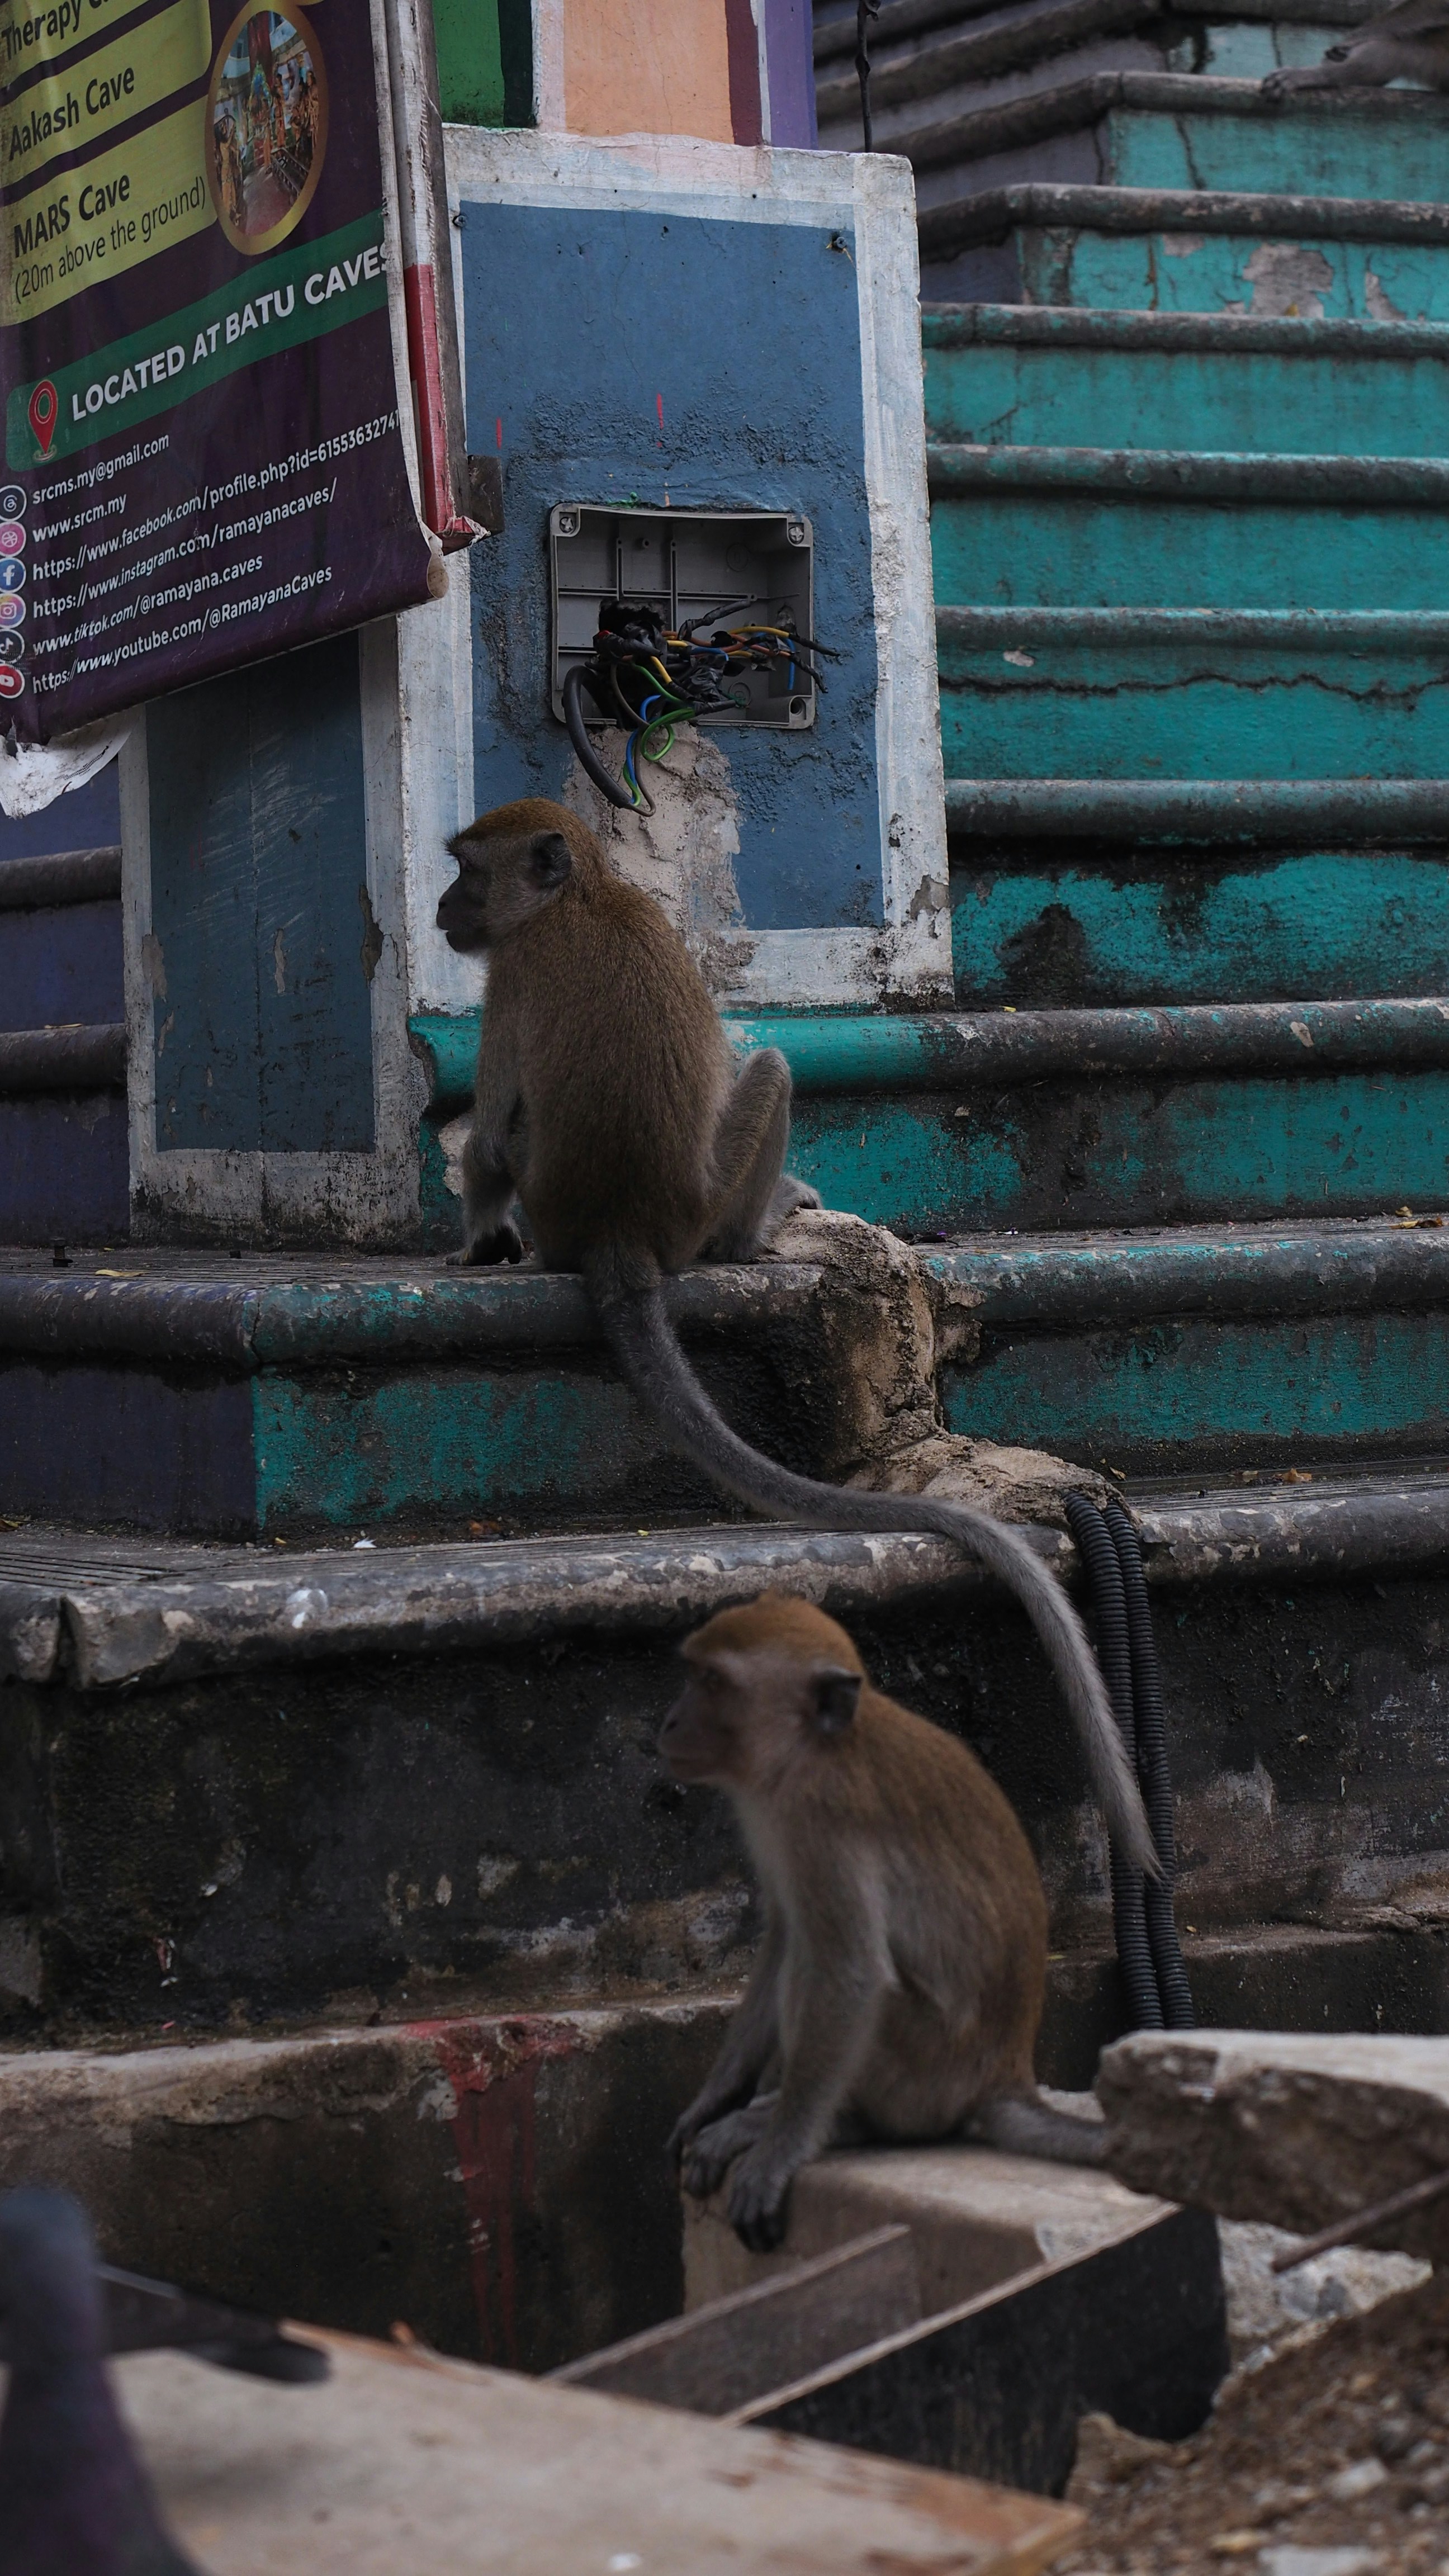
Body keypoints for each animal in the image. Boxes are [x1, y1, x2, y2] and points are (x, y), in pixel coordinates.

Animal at [436, 797, 1156, 1883]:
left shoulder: (510, 972)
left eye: (470, 873)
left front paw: (474, 1236)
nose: (442, 908)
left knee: (764, 1069)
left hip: (681, 1213)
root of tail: (618, 1232)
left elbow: (483, 1144)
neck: (586, 895)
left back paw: (753, 1226)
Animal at [659, 1592, 1113, 2251]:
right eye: (693, 1673)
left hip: (924, 2071)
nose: (669, 1722)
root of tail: (1005, 2078)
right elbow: (786, 1933)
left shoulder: (823, 1822)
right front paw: (711, 2102)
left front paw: (778, 2153)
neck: (816, 1748)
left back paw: (829, 2124)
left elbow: (851, 1972)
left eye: (713, 1682)